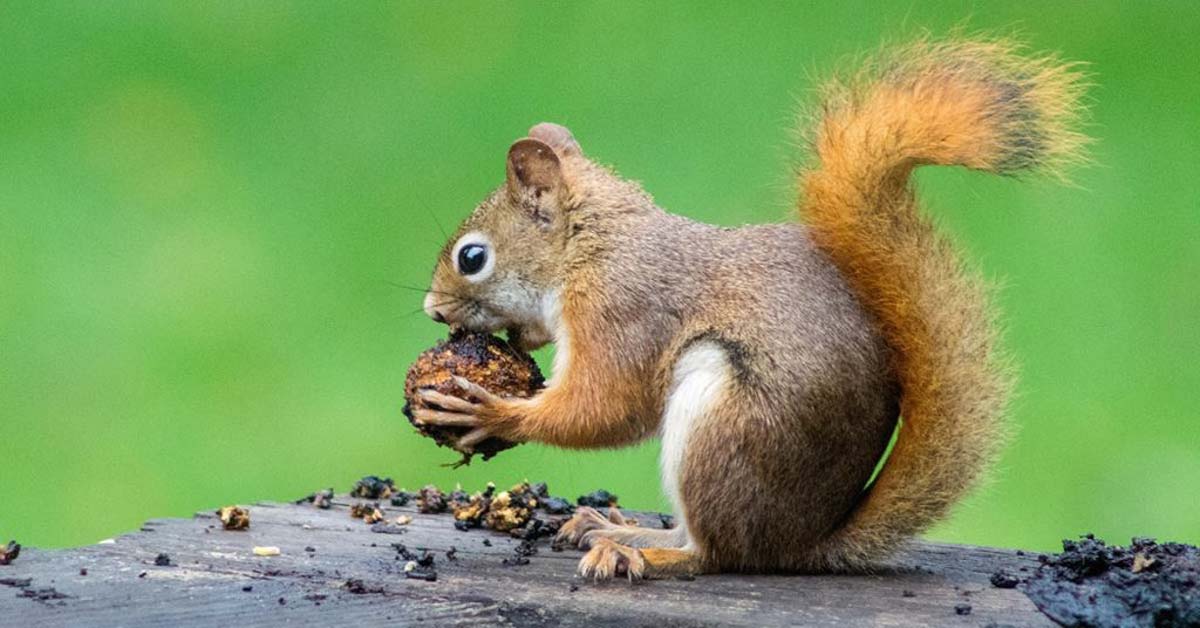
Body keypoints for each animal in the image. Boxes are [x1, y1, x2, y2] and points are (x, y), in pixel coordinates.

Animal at [412, 38, 1087, 579]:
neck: (592, 246)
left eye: (473, 257)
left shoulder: (622, 310)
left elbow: (606, 407)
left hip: (722, 423)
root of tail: (802, 543)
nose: (433, 311)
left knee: (714, 554)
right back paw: (614, 526)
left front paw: (491, 410)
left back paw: (640, 551)